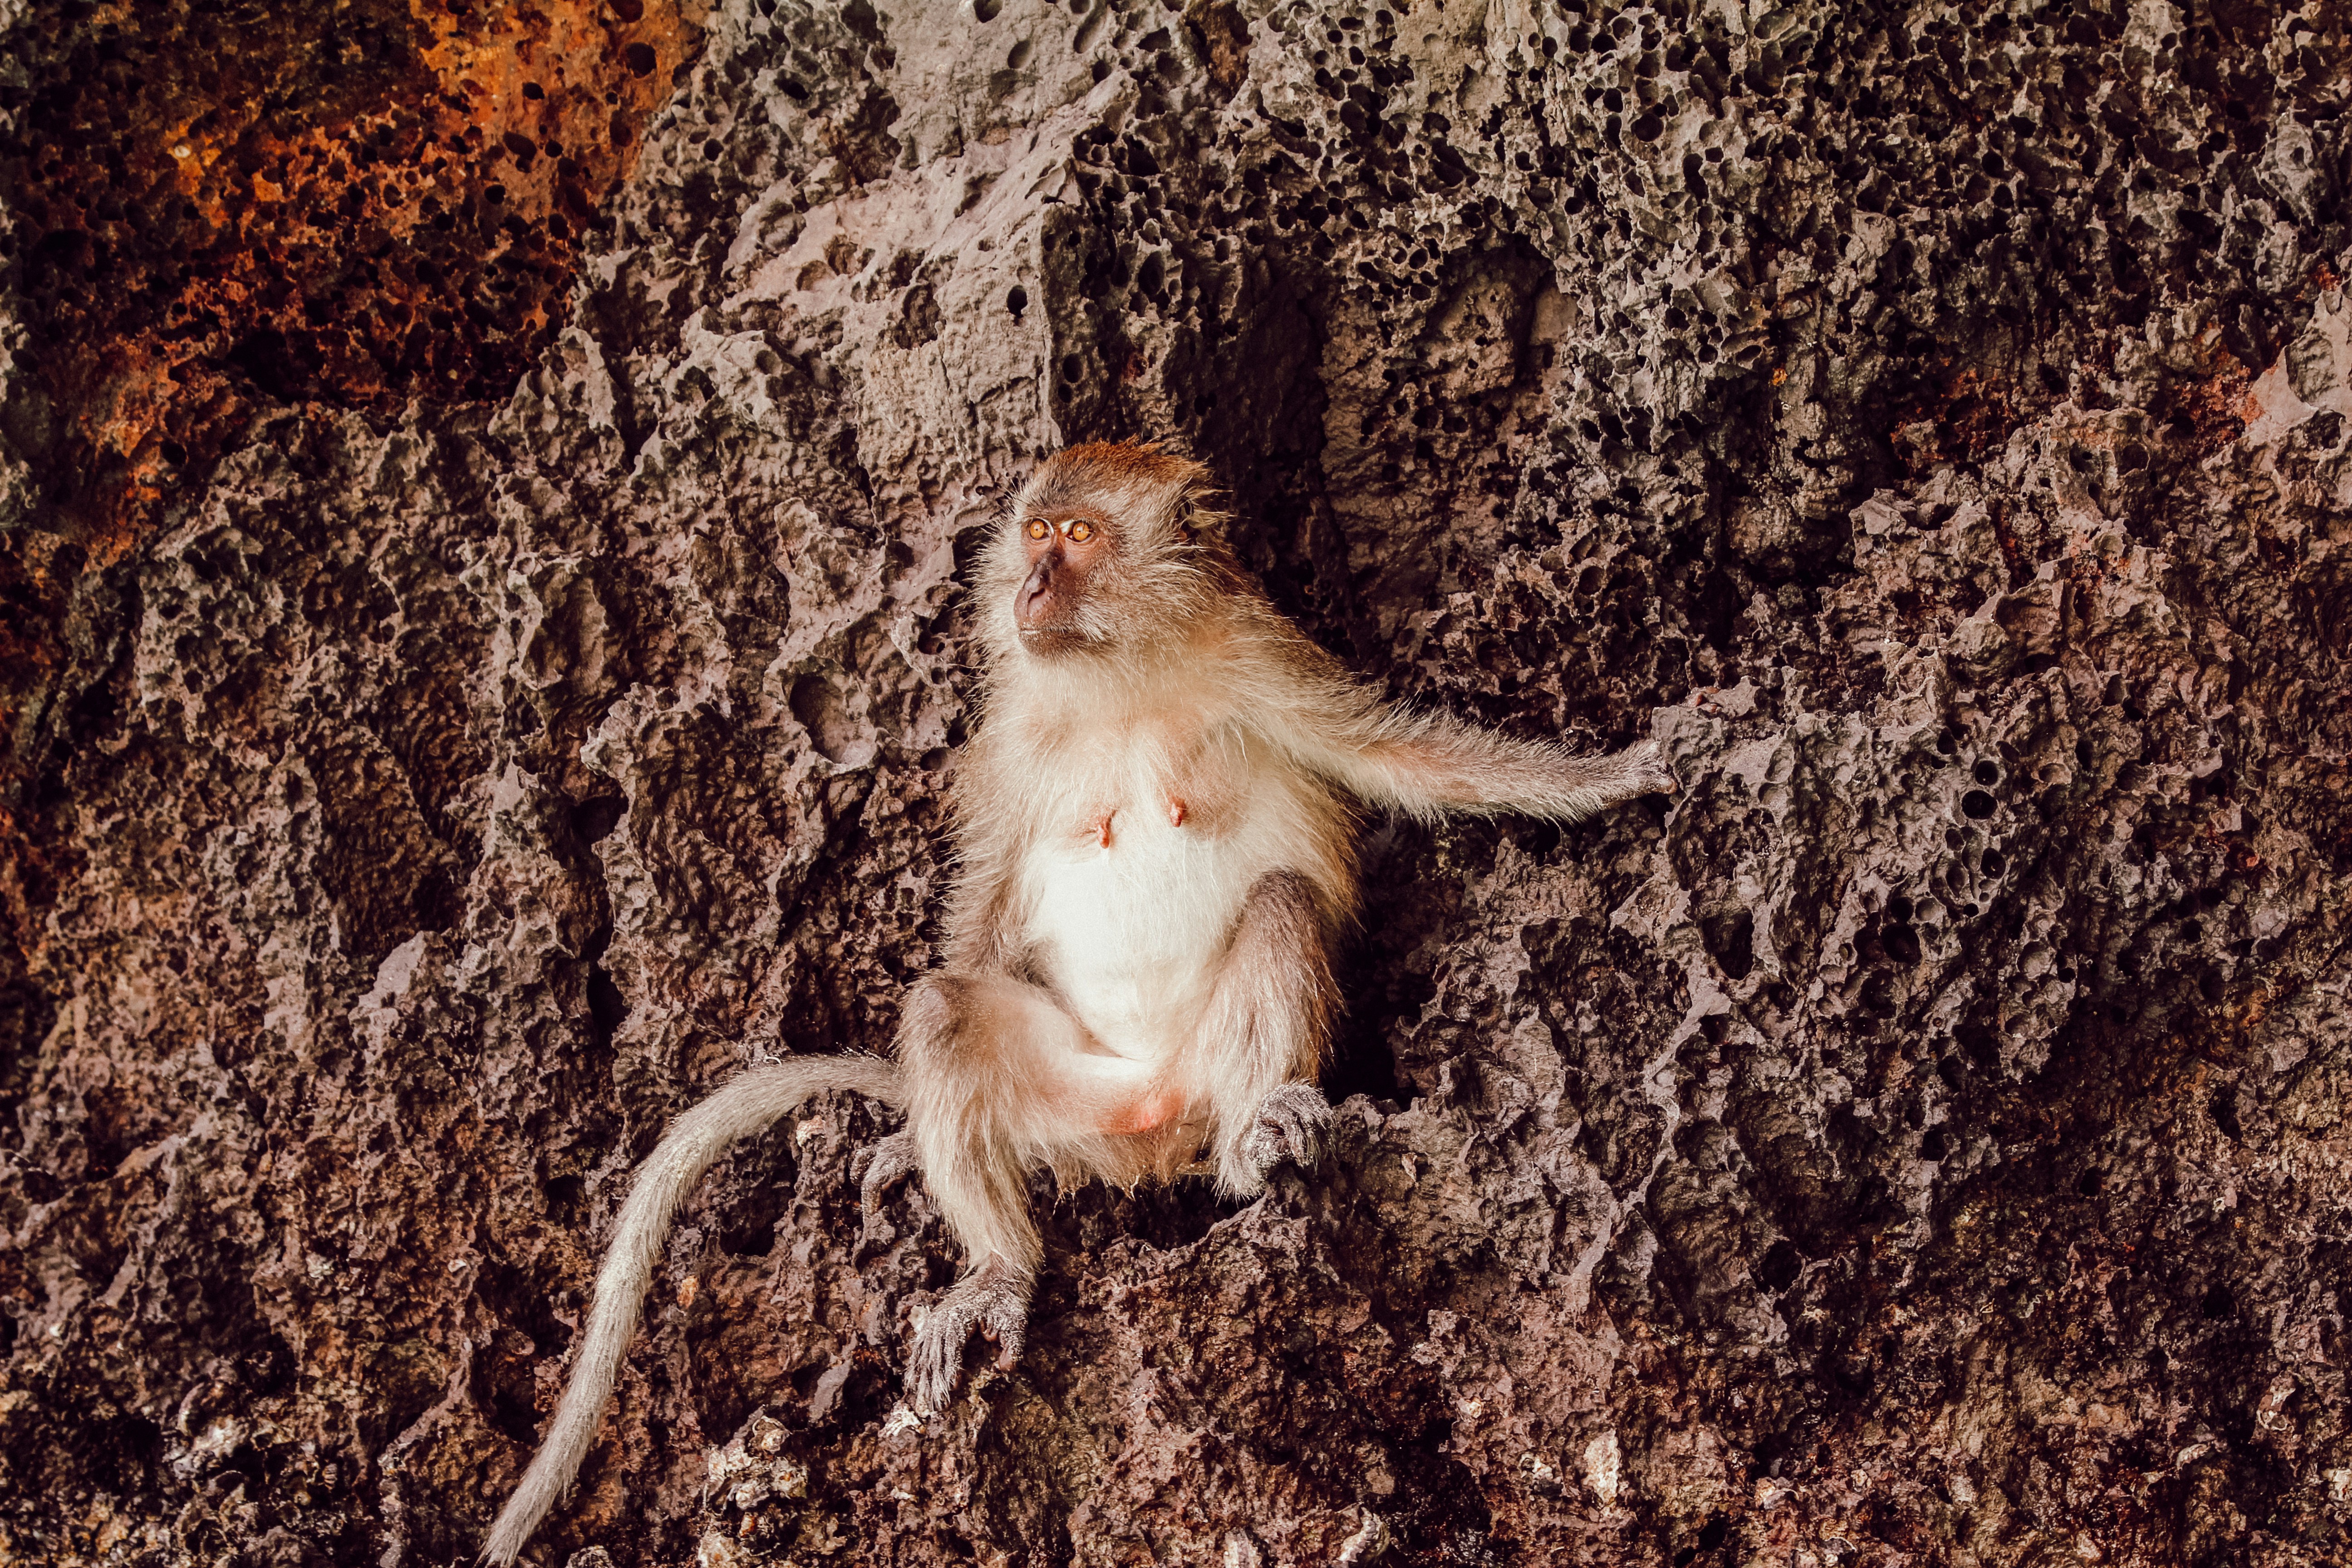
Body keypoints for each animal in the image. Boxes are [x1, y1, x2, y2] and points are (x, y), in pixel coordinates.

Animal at [481, 441, 1675, 1562]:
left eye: (1079, 536)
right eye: (1036, 532)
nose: (1030, 584)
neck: (1118, 676)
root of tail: (1153, 1119)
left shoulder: (1263, 663)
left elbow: (1399, 760)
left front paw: (1608, 778)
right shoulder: (1006, 746)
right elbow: (981, 909)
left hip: (1200, 1070)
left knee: (1279, 908)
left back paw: (1255, 1139)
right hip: (1073, 1104)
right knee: (945, 1013)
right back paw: (1001, 1271)